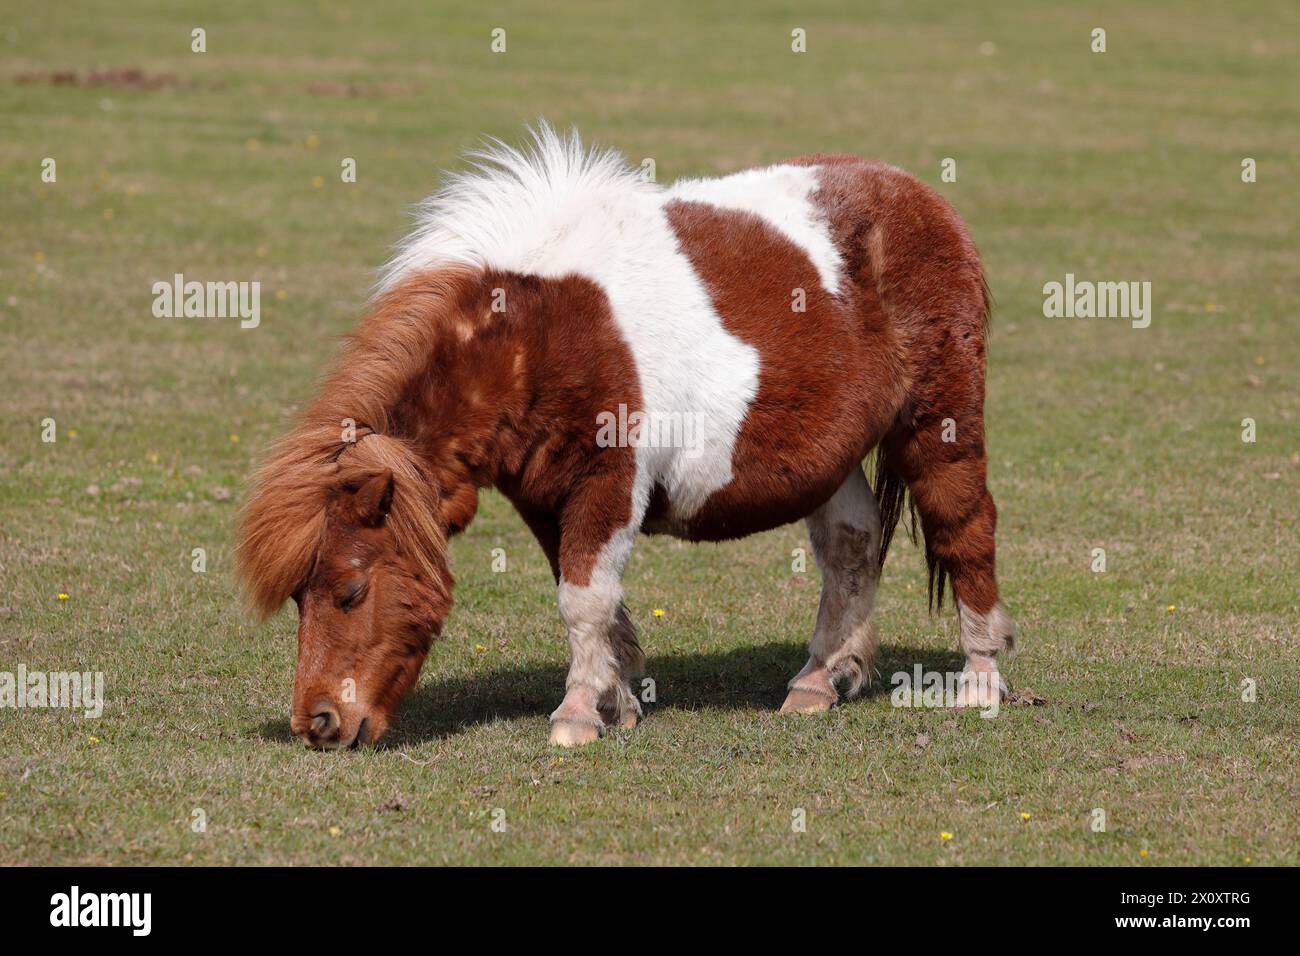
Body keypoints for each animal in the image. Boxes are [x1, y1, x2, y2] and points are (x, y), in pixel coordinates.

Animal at [235, 125, 1015, 749]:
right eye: (301, 598)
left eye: (350, 591)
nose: (319, 724)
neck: (538, 335)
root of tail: (924, 199)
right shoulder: (543, 498)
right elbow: (592, 599)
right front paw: (616, 700)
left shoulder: (608, 482)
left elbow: (584, 598)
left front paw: (578, 715)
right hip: (834, 454)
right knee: (850, 547)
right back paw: (818, 681)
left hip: (938, 423)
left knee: (963, 525)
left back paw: (980, 677)